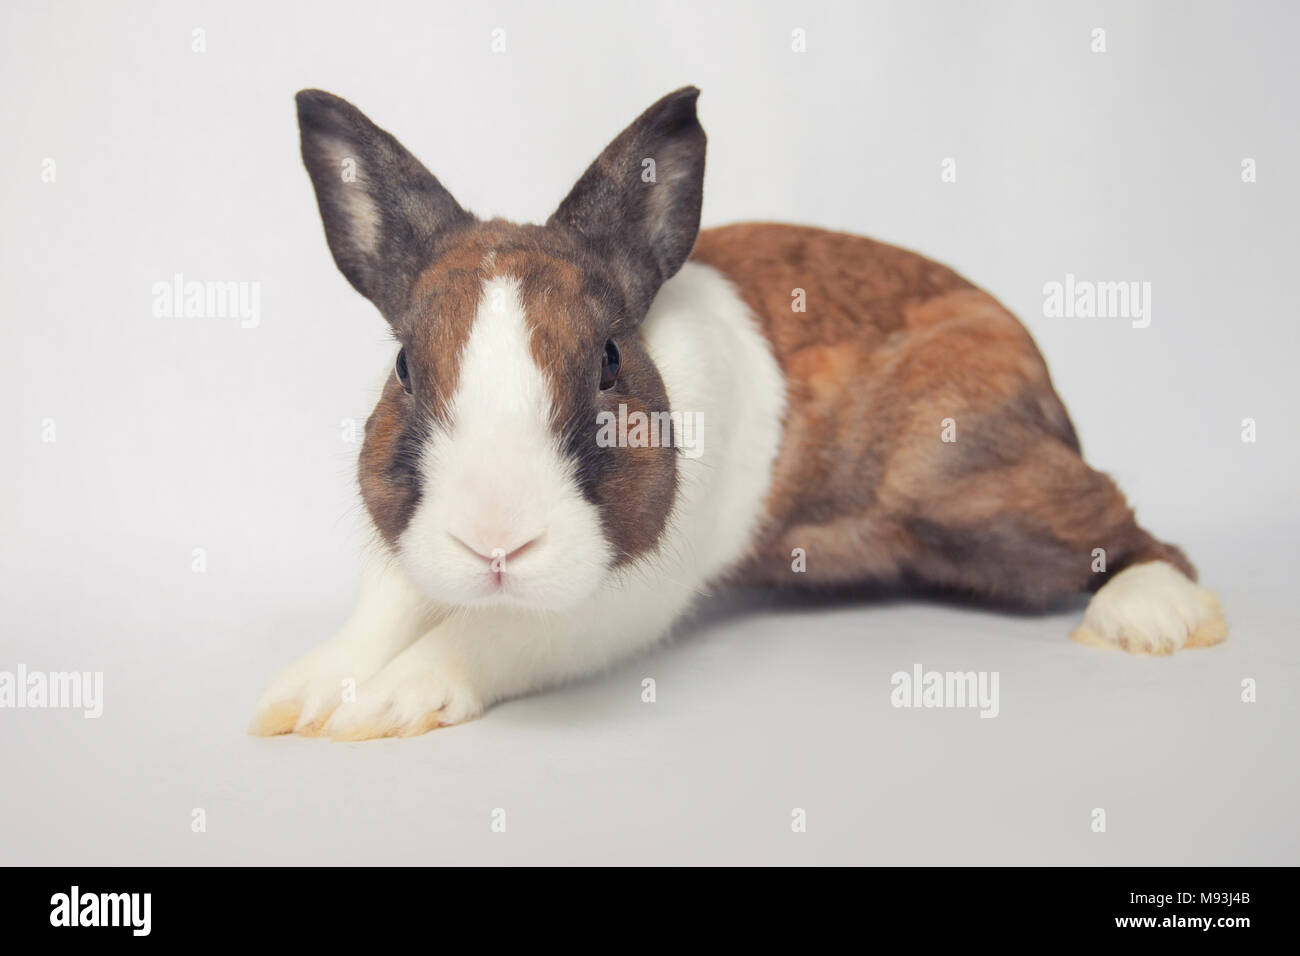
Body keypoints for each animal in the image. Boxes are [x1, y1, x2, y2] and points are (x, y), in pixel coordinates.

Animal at [250, 86, 1227, 741]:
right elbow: (381, 612)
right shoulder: (404, 564)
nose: (495, 542)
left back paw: (1153, 617)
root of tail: (1044, 380)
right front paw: (302, 697)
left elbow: (492, 633)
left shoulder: (617, 601)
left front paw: (388, 701)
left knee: (1123, 529)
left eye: (609, 362)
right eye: (404, 370)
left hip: (968, 481)